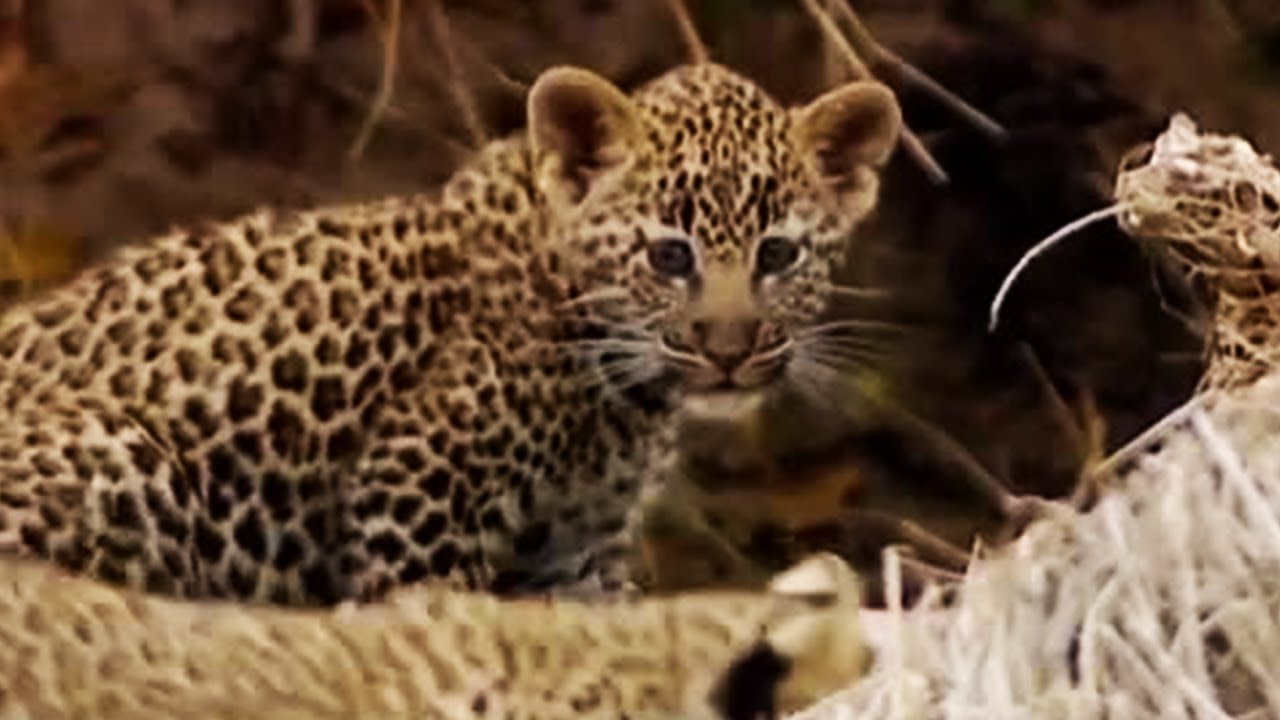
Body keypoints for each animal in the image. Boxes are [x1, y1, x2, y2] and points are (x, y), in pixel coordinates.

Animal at [0, 60, 902, 605]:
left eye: (778, 254)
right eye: (669, 255)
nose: (728, 349)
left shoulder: (580, 547)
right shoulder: (414, 494)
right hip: (127, 452)